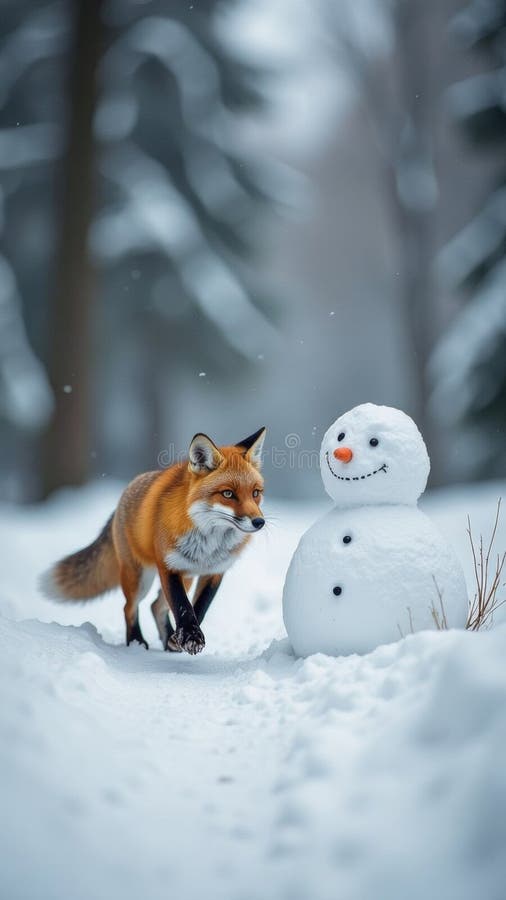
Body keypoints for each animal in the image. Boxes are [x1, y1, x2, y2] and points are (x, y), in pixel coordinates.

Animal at [40, 428, 266, 655]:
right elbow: (183, 605)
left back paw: (169, 640)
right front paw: (190, 636)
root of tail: (122, 498)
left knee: (155, 606)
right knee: (130, 607)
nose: (259, 522)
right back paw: (136, 641)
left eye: (255, 493)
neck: (209, 545)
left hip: (186, 576)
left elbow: (200, 607)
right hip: (139, 578)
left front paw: (183, 637)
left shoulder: (215, 572)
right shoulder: (168, 565)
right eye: (228, 493)